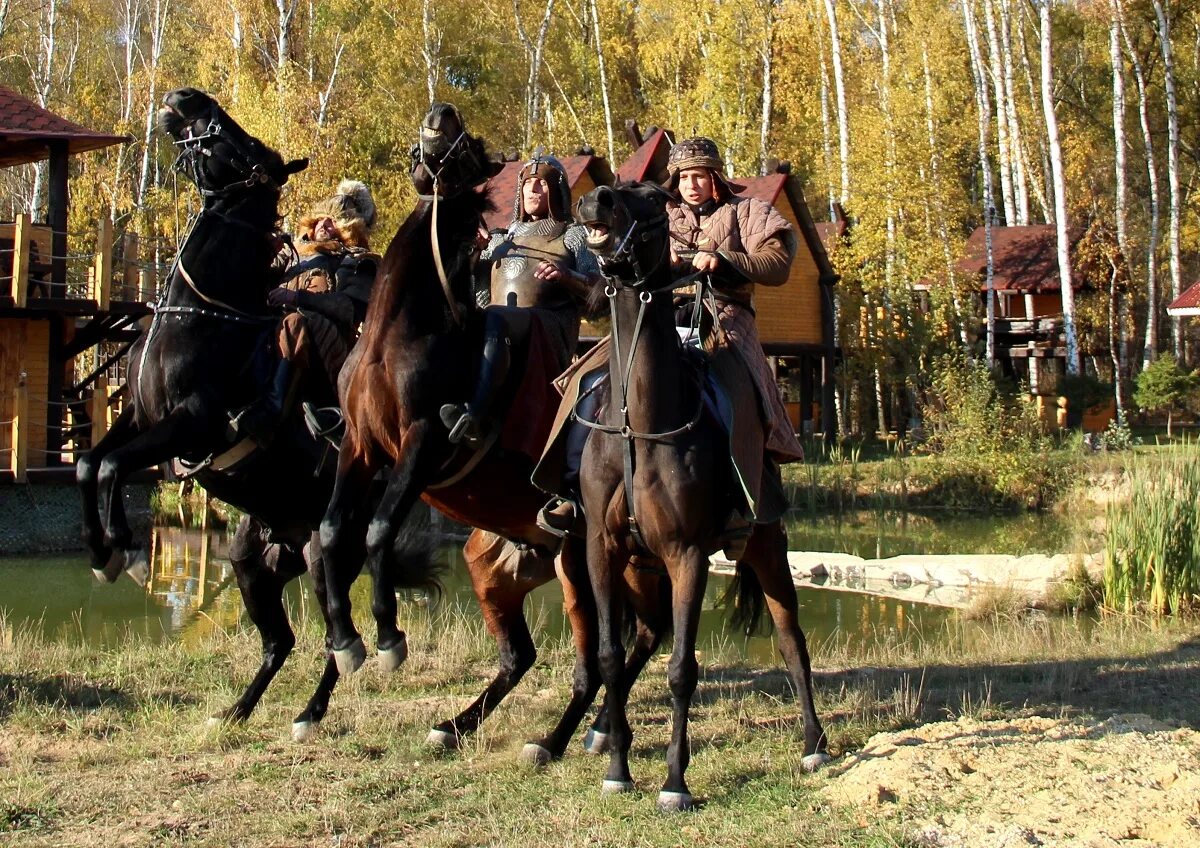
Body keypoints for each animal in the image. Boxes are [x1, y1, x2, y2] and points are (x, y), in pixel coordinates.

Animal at [73, 84, 436, 734]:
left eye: (245, 142)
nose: (184, 97)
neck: (203, 313)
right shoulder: (140, 418)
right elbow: (91, 463)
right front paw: (101, 551)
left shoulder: (190, 423)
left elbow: (112, 467)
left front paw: (128, 550)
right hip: (249, 562)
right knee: (278, 641)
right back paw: (239, 710)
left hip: (321, 559)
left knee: (336, 642)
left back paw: (316, 702)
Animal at [571, 182, 825, 810]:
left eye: (651, 196)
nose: (596, 200)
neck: (639, 424)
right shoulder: (601, 548)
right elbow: (609, 656)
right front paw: (618, 768)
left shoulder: (688, 556)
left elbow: (683, 668)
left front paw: (674, 781)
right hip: (642, 568)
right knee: (642, 637)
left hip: (765, 546)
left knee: (792, 639)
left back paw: (815, 743)